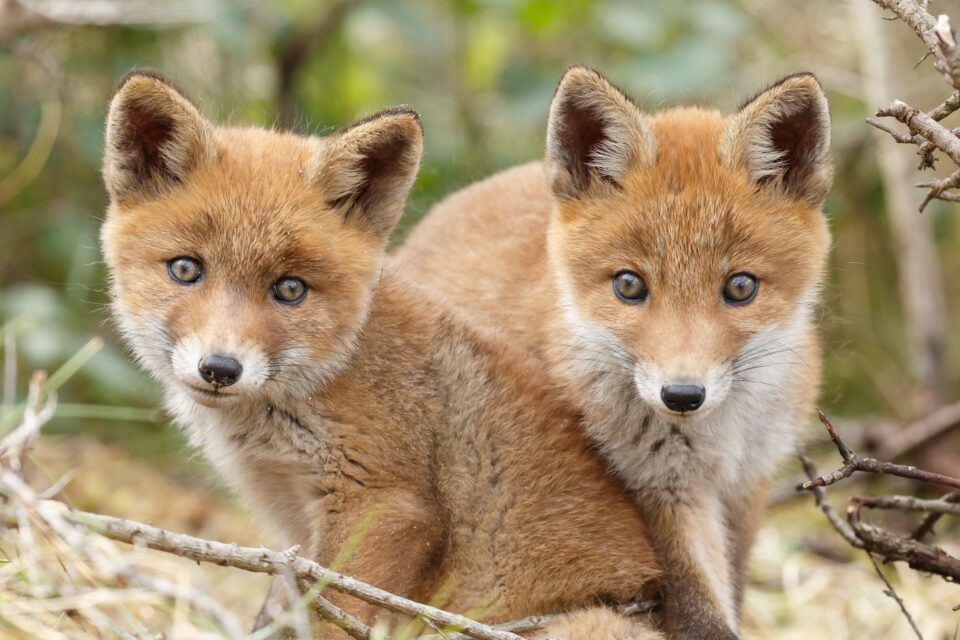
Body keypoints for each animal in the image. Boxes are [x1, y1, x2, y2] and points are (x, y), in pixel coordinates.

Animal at [99, 70, 668, 639]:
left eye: (289, 289)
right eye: (186, 270)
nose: (220, 369)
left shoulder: (385, 504)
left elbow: (335, 616)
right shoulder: (299, 534)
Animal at [396, 66, 833, 639]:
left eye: (740, 287)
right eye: (629, 285)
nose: (682, 395)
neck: (720, 436)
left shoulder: (748, 486)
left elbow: (733, 590)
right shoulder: (657, 491)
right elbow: (703, 614)